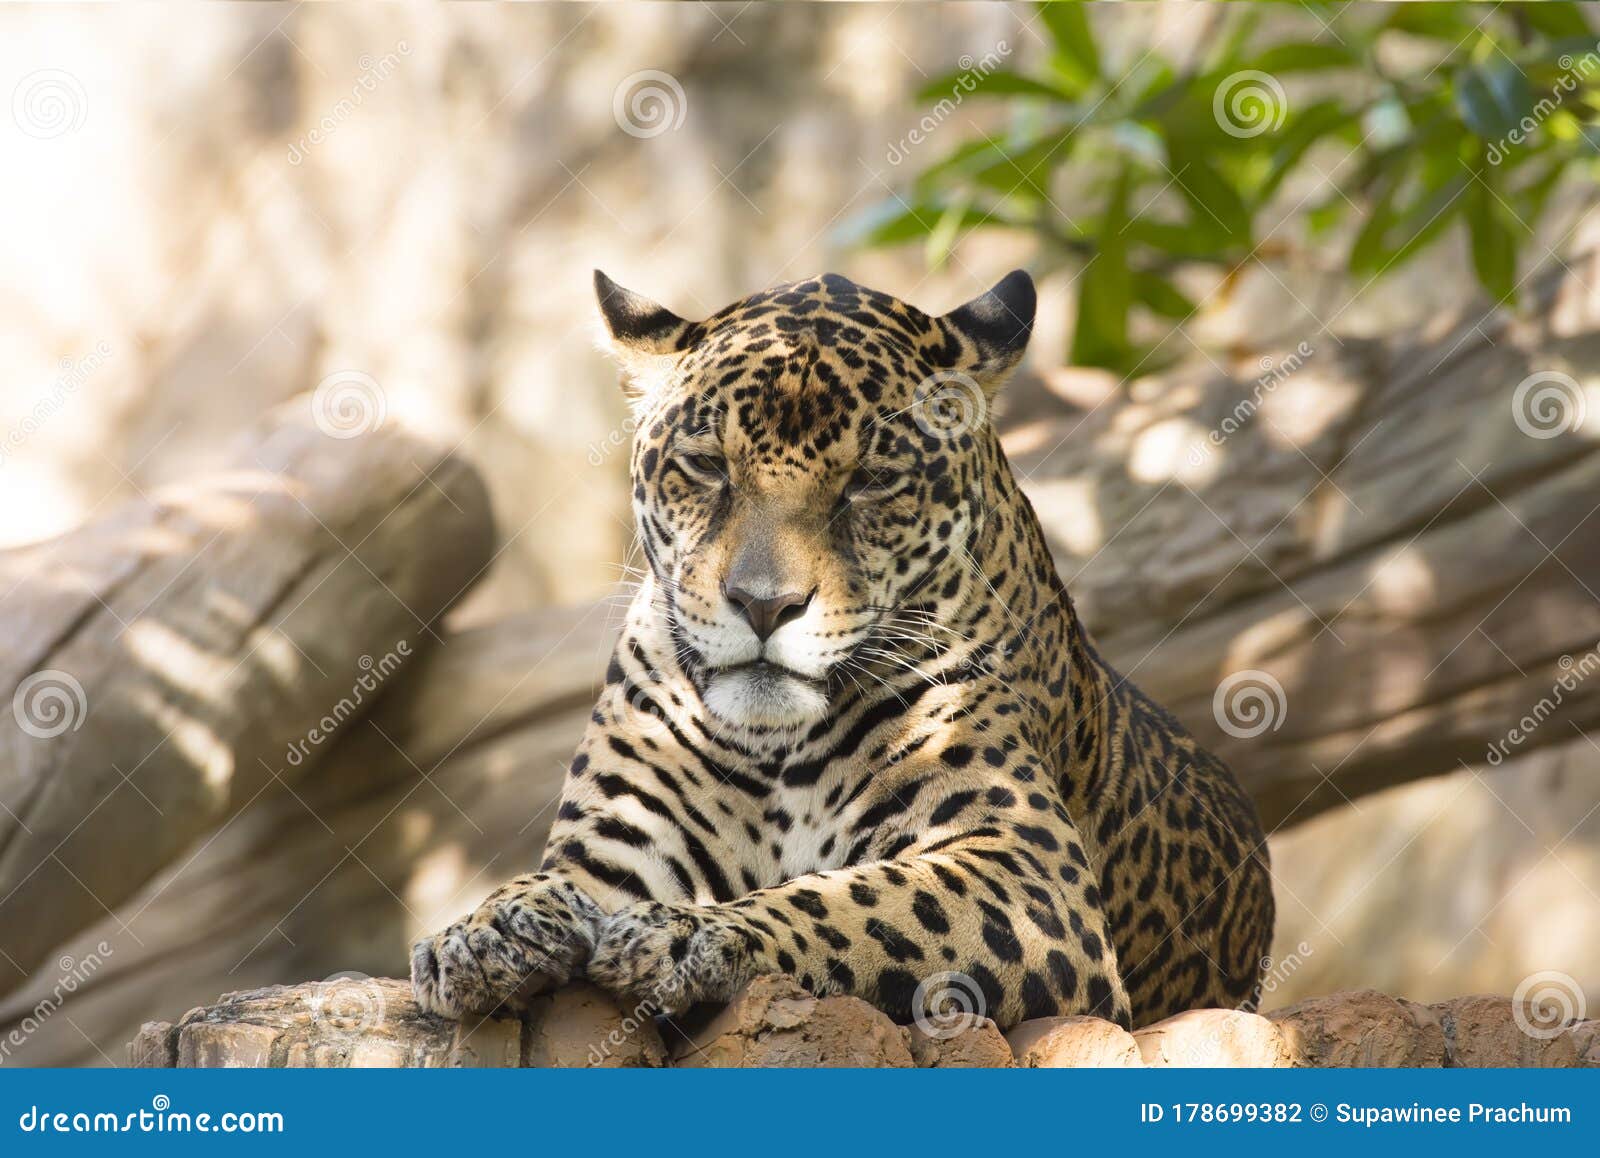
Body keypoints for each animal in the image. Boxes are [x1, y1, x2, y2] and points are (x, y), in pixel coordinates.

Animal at [410, 268, 1275, 1033]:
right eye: (708, 466)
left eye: (870, 481)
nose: (764, 604)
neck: (771, 746)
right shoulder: (611, 848)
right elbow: (549, 881)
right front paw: (484, 931)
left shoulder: (1029, 873)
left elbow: (848, 900)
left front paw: (686, 933)